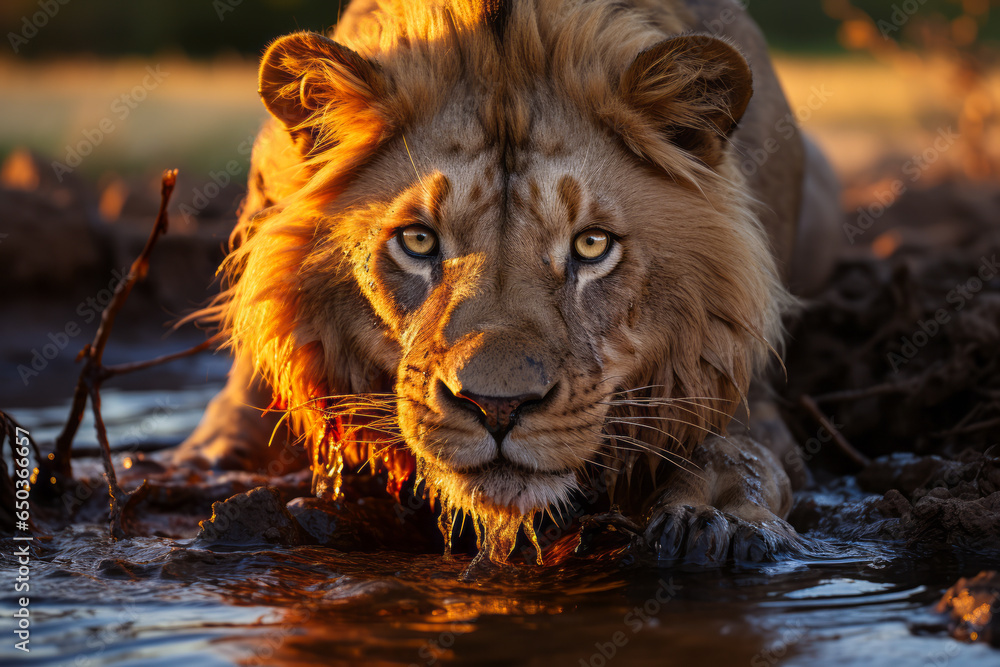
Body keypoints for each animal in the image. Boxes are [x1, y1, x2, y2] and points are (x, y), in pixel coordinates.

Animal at [176, 0, 843, 565]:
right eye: (418, 241)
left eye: (591, 245)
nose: (497, 407)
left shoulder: (744, 382)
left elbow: (740, 452)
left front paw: (717, 516)